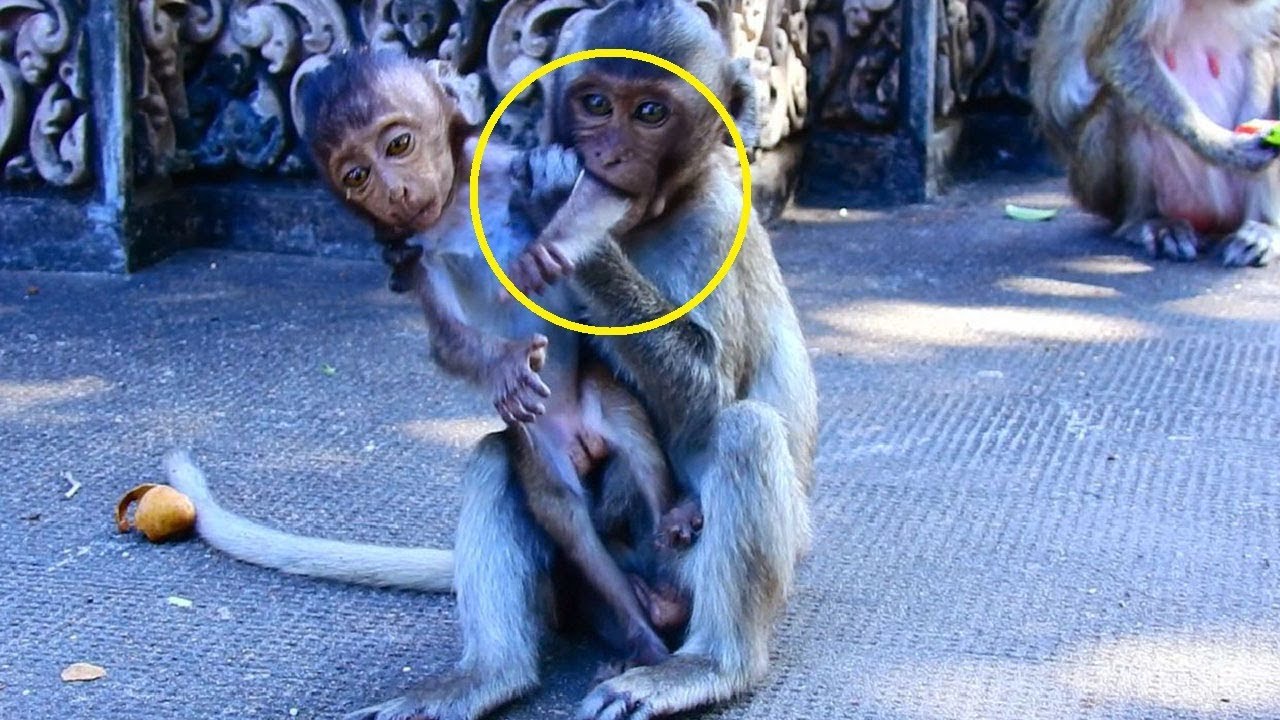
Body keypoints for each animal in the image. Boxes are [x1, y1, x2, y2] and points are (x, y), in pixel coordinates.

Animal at [345, 2, 820, 719]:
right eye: (596, 102)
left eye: (650, 112)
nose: (605, 155)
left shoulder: (716, 224)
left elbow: (710, 398)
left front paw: (574, 224)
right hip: (585, 585)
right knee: (499, 455)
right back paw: (493, 672)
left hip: (706, 569)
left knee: (745, 429)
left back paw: (708, 664)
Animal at [1030, 0, 1280, 267]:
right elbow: (1120, 49)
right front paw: (1222, 146)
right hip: (1094, 187)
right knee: (1121, 100)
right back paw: (1152, 220)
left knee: (1262, 54)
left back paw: (1263, 227)